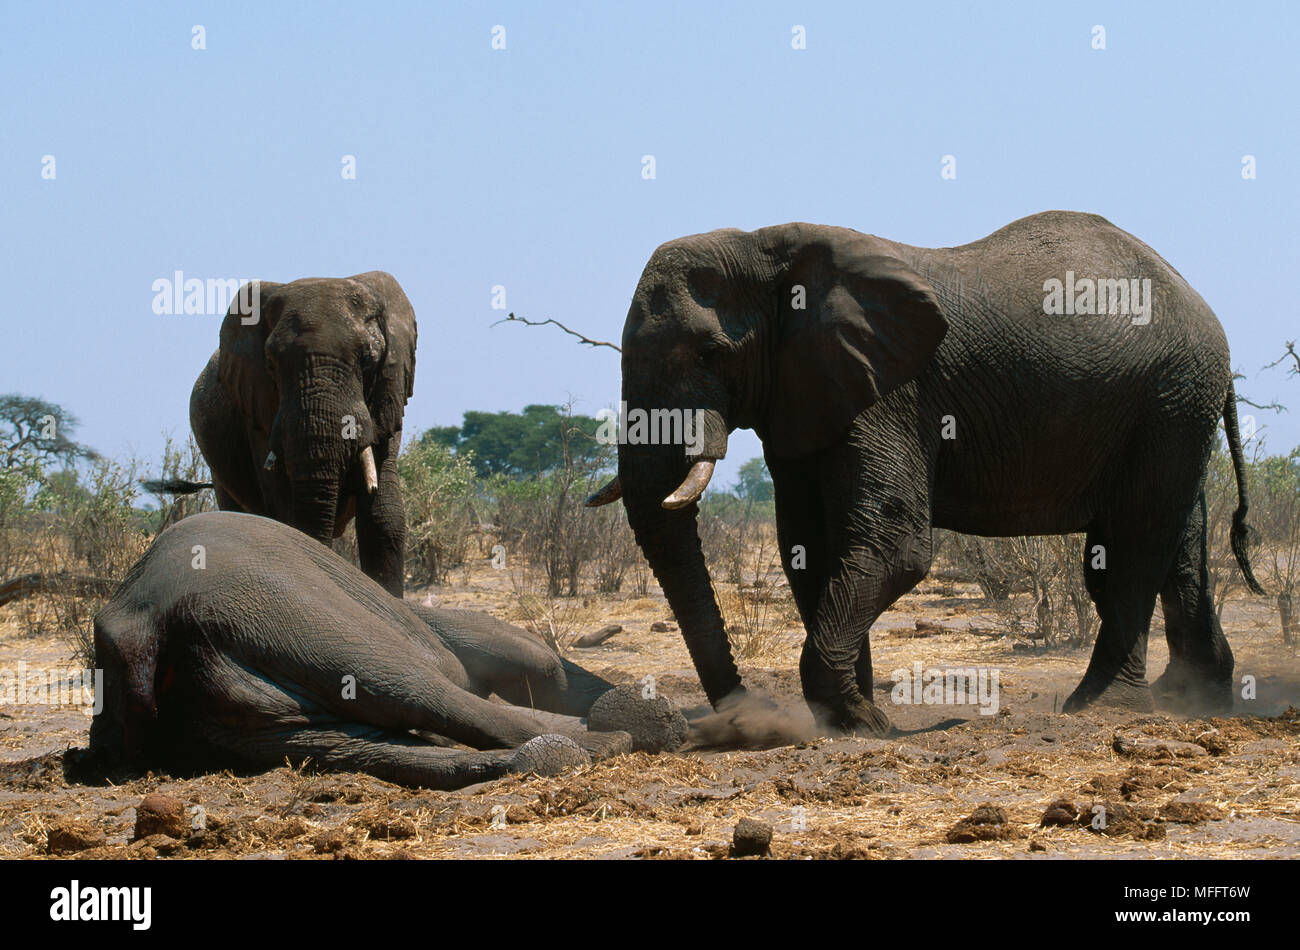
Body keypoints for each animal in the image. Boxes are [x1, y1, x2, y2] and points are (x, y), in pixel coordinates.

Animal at [73, 511, 641, 790]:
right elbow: (536, 666)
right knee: (416, 687)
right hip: (284, 611)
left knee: (347, 746)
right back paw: (608, 740)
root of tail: (146, 620)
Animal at [156, 272, 416, 596]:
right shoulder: (256, 406)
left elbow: (383, 517)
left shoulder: (387, 396)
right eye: (270, 364)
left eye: (368, 359)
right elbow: (283, 507)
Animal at [586, 211, 1263, 738]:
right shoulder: (807, 394)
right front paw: (851, 721)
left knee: (1127, 548)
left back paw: (1100, 710)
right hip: (1173, 406)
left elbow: (896, 546)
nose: (744, 716)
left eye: (709, 354)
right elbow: (807, 549)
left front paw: (863, 723)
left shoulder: (894, 393)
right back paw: (1196, 701)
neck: (765, 245)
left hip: (1169, 397)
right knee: (1178, 546)